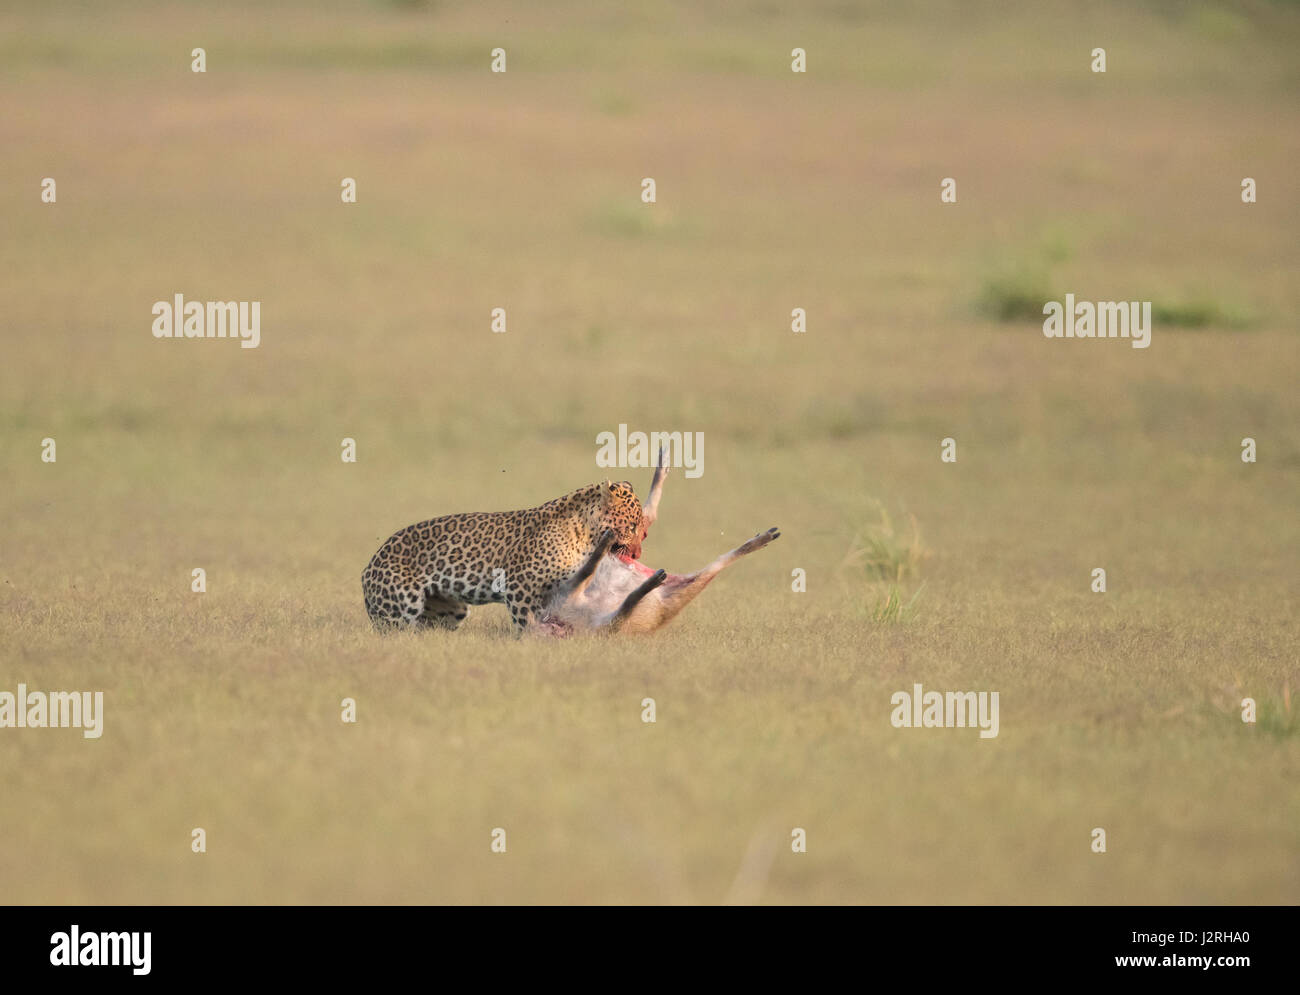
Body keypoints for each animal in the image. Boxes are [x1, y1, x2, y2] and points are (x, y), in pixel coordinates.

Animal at [361, 479, 647, 632]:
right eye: (632, 526)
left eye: (642, 531)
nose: (637, 552)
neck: (586, 535)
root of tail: (369, 566)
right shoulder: (522, 586)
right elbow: (526, 624)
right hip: (401, 606)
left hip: (451, 610)